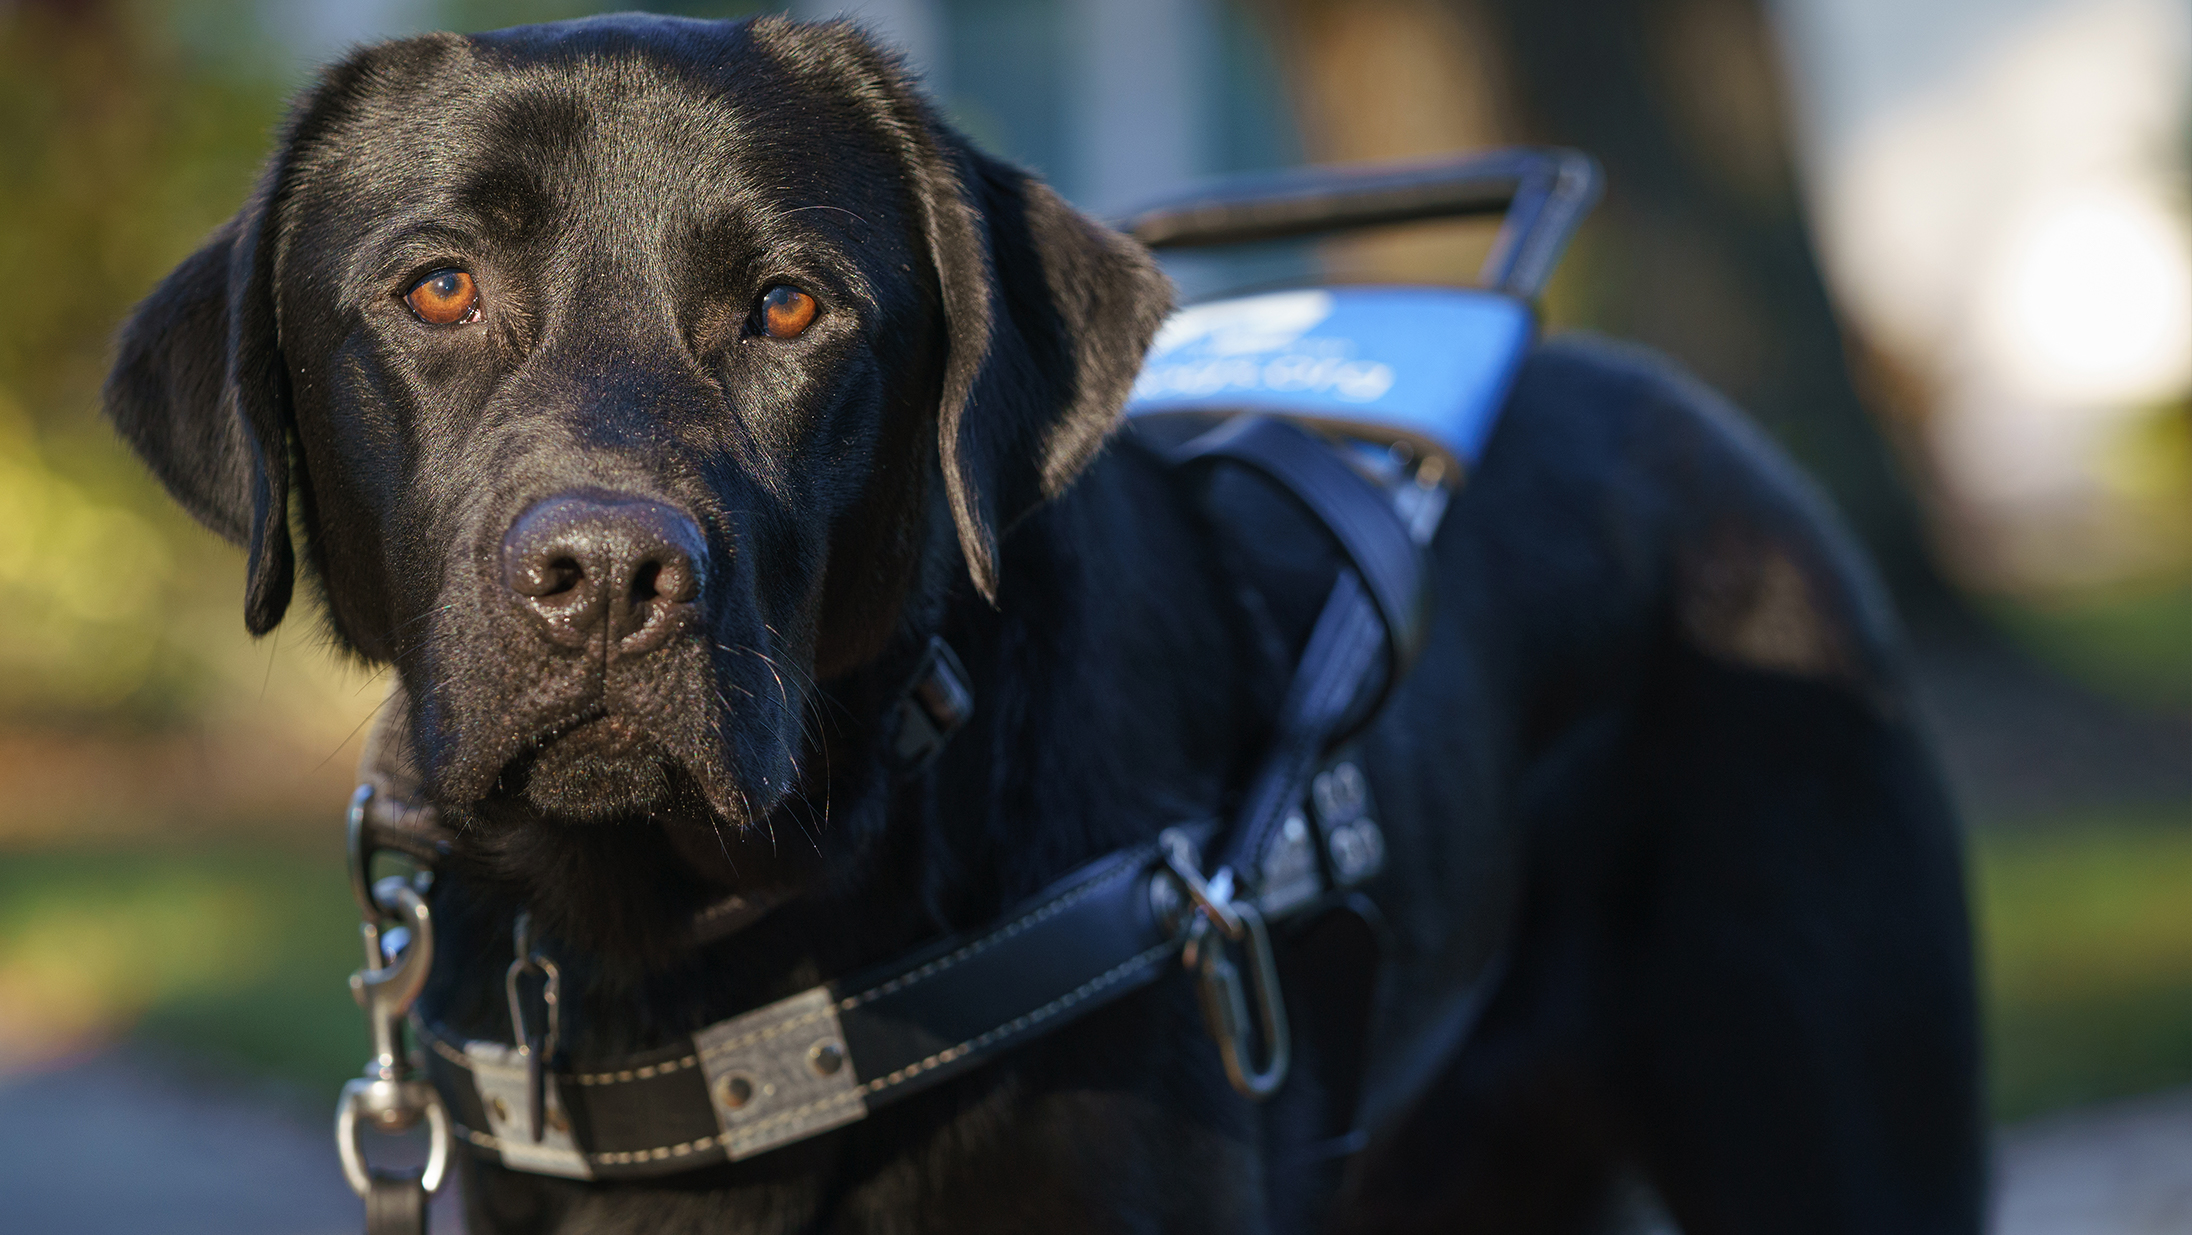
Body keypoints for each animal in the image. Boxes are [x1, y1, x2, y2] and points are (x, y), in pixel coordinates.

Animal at [106, 12, 1990, 1235]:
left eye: (787, 306)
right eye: (436, 288)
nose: (609, 575)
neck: (690, 950)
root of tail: (1724, 435)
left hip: (1836, 1109)